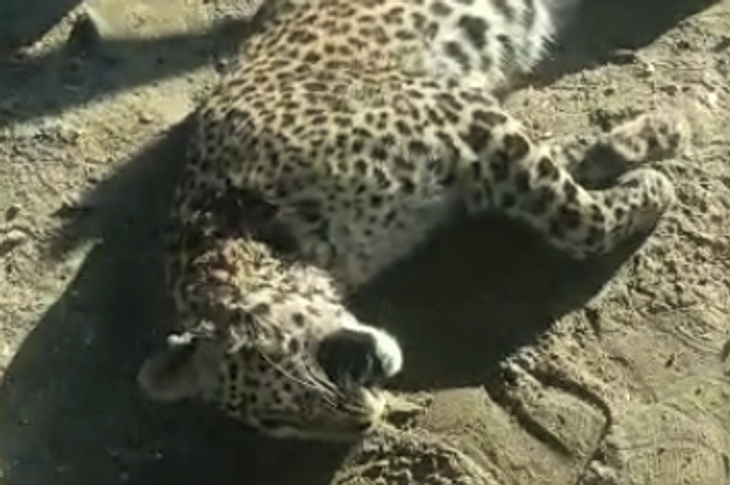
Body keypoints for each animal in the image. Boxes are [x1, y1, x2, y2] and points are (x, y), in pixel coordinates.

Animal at [136, 0, 687, 442]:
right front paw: (636, 144)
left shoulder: (461, 113)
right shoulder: (477, 156)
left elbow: (579, 217)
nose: (363, 423)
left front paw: (654, 171)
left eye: (284, 379)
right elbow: (563, 170)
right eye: (278, 424)